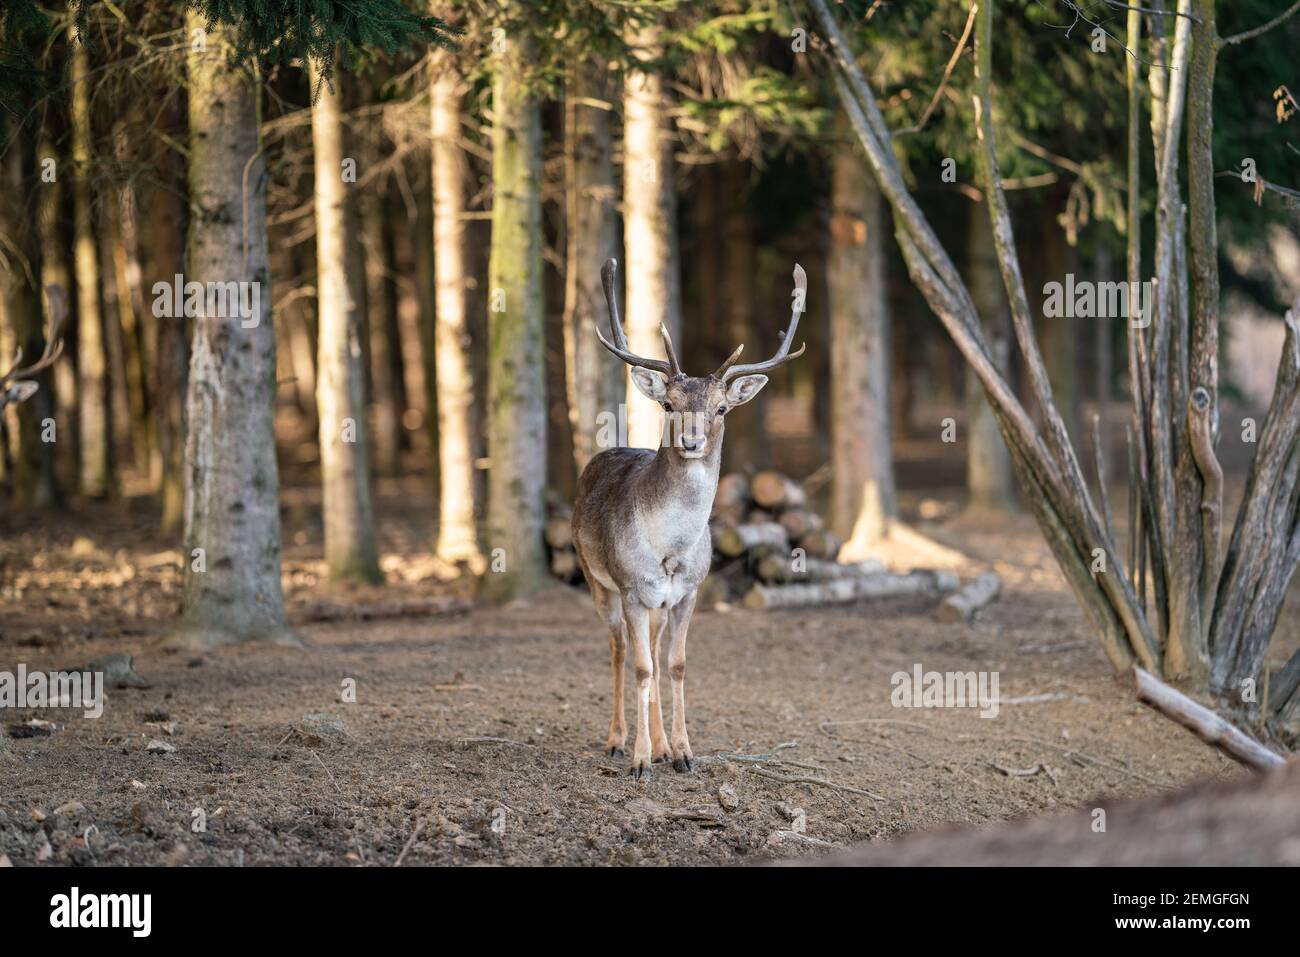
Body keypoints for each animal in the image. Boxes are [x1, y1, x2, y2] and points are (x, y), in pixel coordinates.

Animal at [571, 258, 805, 779]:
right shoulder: (632, 589)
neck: (671, 551)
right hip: (597, 581)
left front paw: (681, 753)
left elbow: (675, 666)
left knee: (655, 657)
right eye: (668, 405)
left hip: (658, 604)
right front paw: (640, 762)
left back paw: (660, 745)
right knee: (620, 650)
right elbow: (641, 667)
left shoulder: (690, 590)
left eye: (720, 407)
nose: (692, 441)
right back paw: (617, 741)